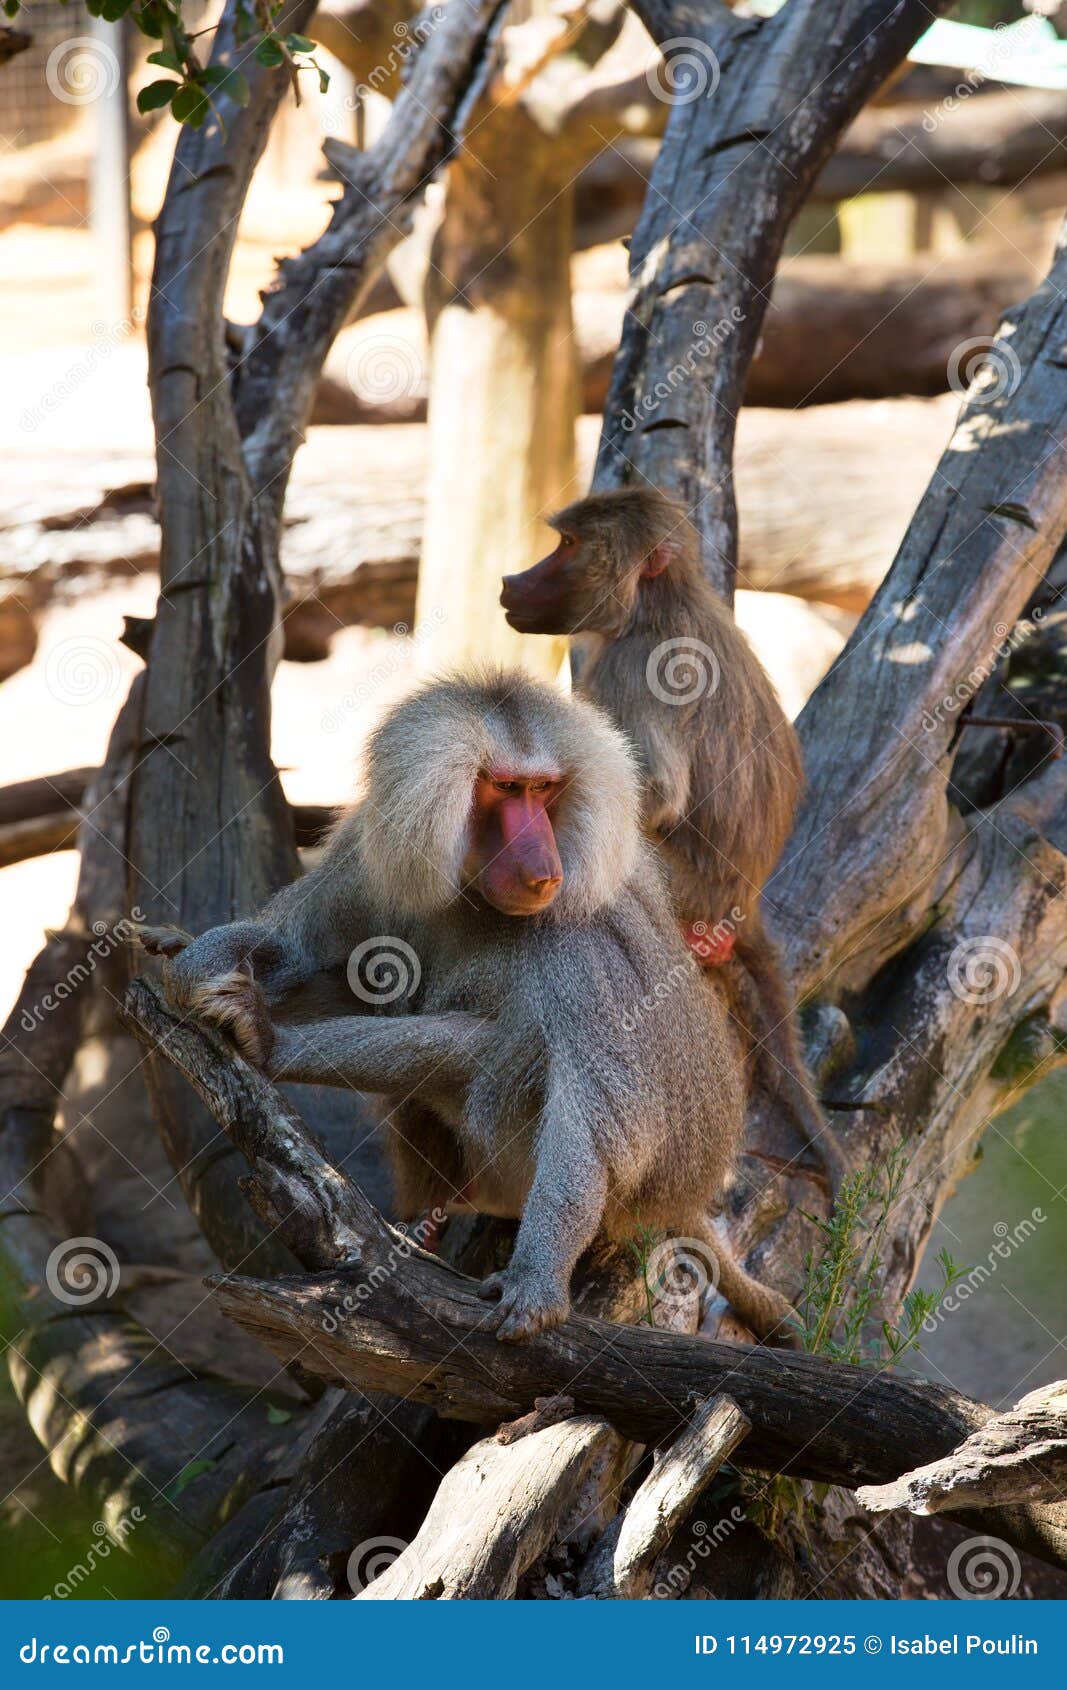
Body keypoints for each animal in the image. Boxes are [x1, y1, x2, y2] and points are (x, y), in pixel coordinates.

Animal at [143, 669, 795, 1345]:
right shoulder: (368, 859)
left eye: (545, 789)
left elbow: (596, 1123)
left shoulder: (578, 942)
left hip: (529, 1173)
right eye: (506, 788)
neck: (473, 891)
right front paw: (197, 955)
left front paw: (535, 1283)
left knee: (482, 1047)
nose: (545, 869)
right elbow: (298, 953)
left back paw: (272, 1045)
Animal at [499, 487, 844, 1189]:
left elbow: (650, 793)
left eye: (568, 546)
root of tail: (745, 900)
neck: (656, 605)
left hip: (689, 895)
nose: (512, 582)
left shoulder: (629, 669)